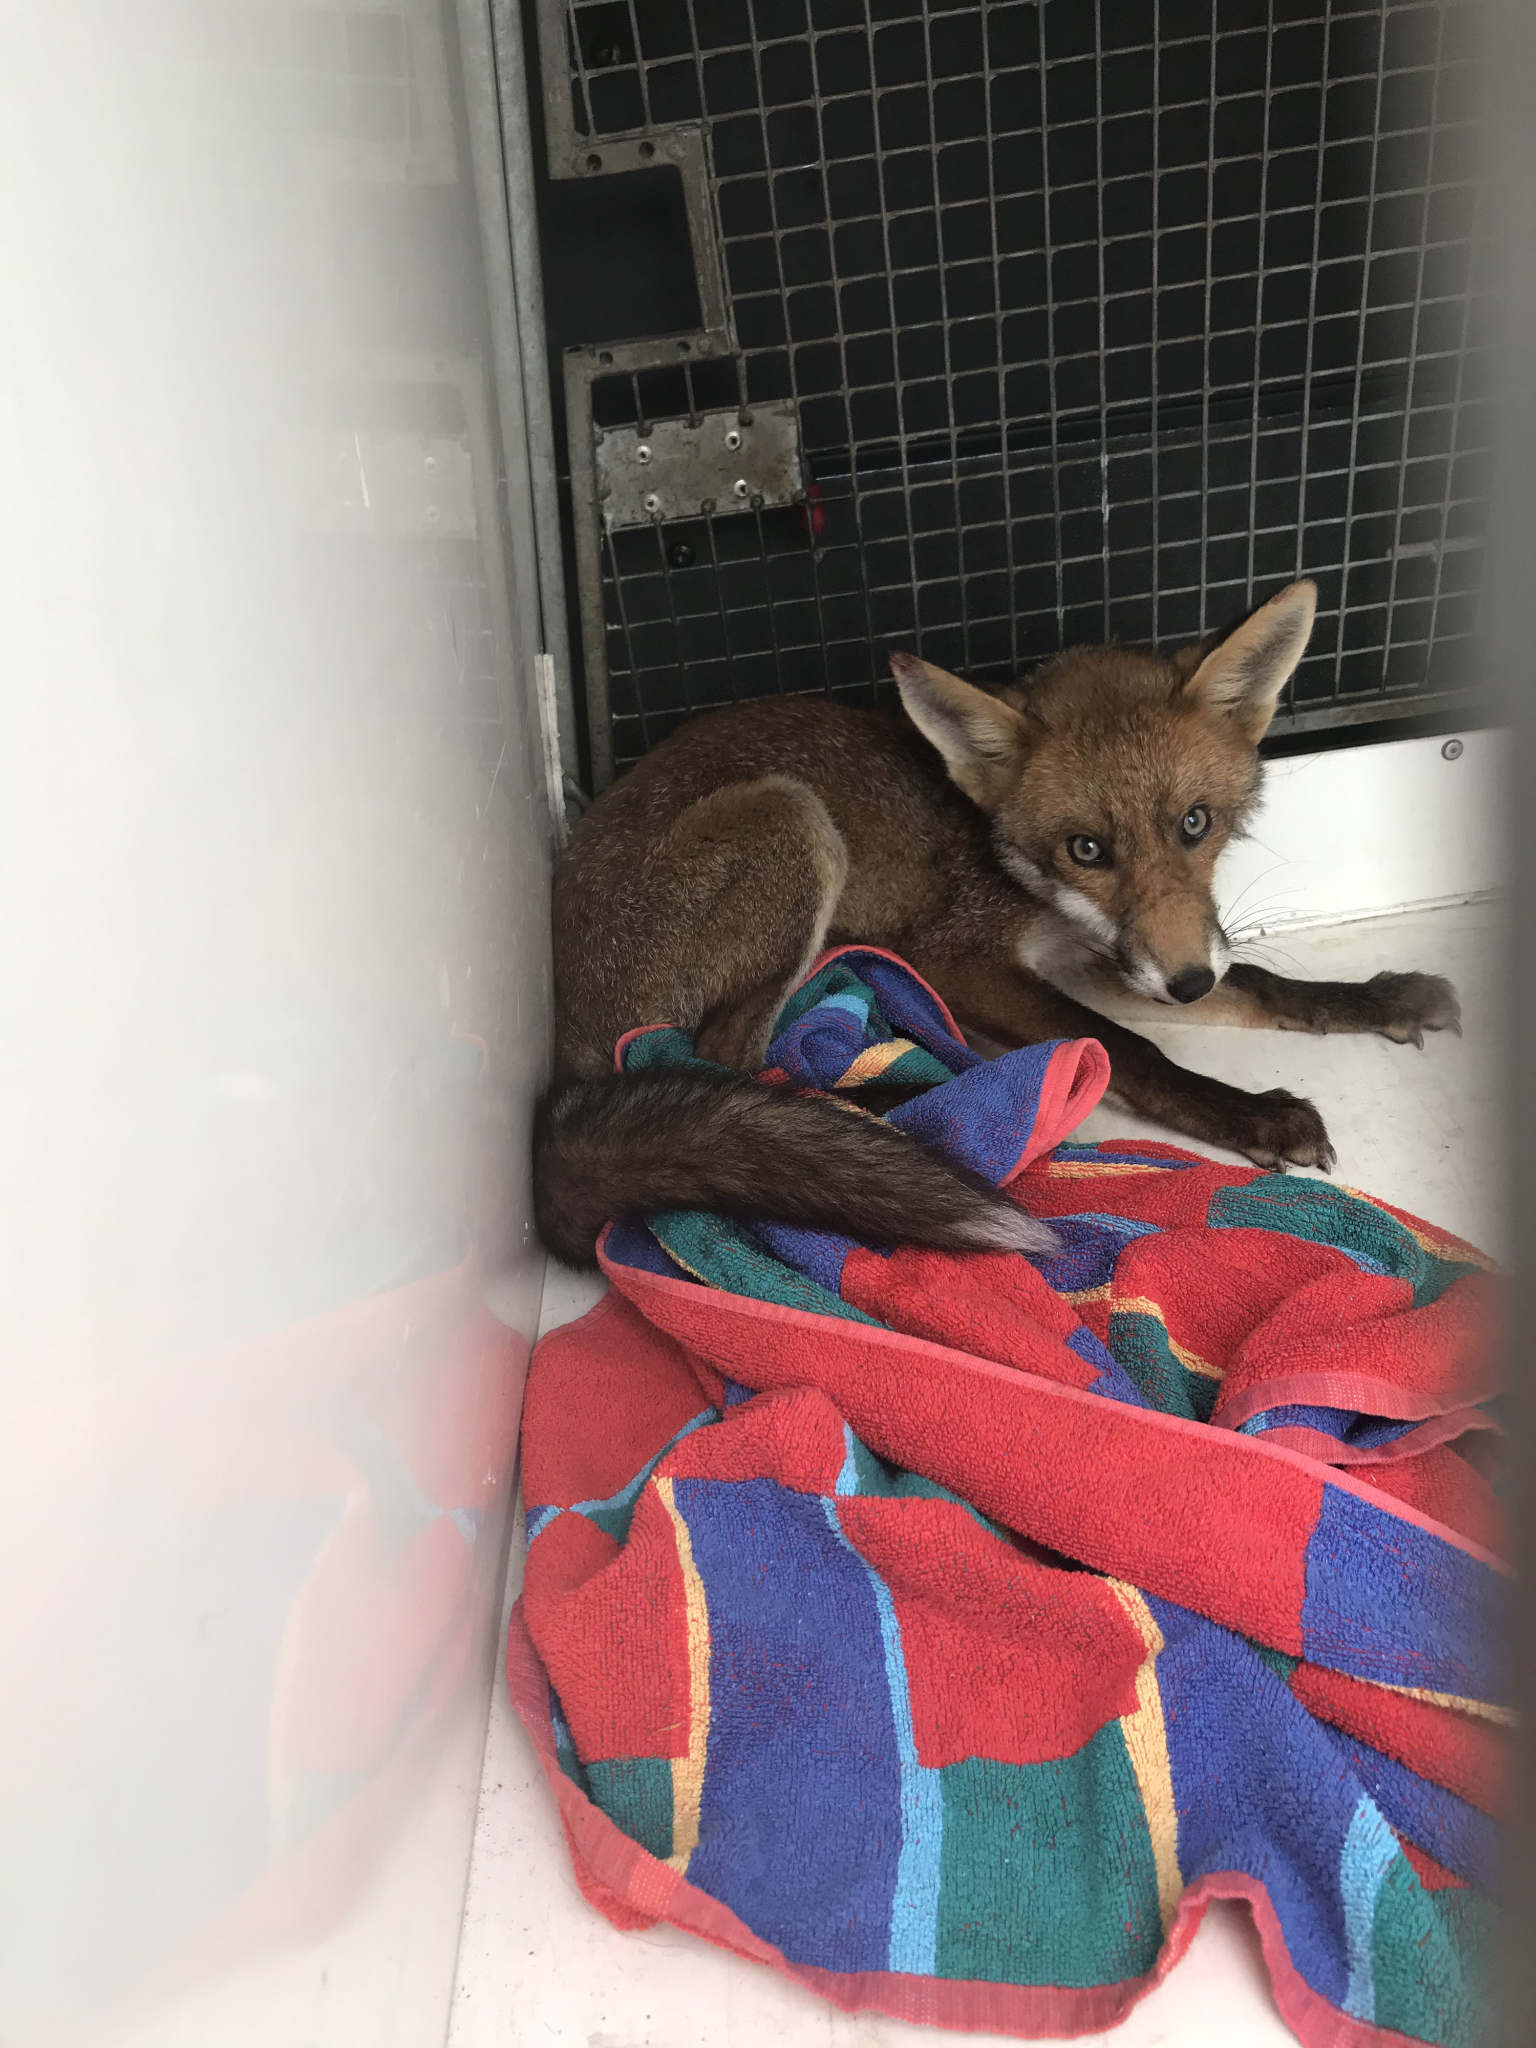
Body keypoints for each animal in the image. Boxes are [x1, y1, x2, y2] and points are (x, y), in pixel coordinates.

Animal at [534, 578, 1460, 1269]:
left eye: (1196, 824)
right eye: (1087, 848)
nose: (1191, 983)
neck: (1023, 877)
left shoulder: (1099, 955)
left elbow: (1264, 986)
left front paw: (1376, 999)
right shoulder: (964, 960)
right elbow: (1132, 1050)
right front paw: (1248, 1114)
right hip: (793, 824)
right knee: (731, 1061)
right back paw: (917, 1101)